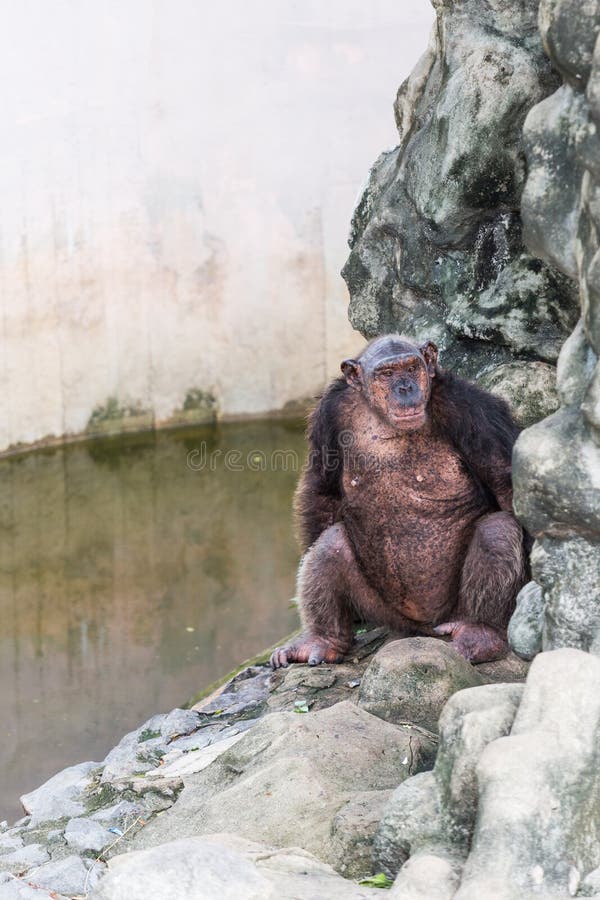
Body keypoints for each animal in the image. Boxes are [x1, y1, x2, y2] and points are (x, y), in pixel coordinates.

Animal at [271, 335, 528, 669]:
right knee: (329, 544)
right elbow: (322, 489)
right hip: (383, 611)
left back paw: (481, 634)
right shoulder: (330, 411)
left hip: (452, 616)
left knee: (498, 531)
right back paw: (321, 641)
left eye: (411, 367)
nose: (405, 388)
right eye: (387, 373)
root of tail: (424, 629)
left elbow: (505, 482)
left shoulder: (473, 410)